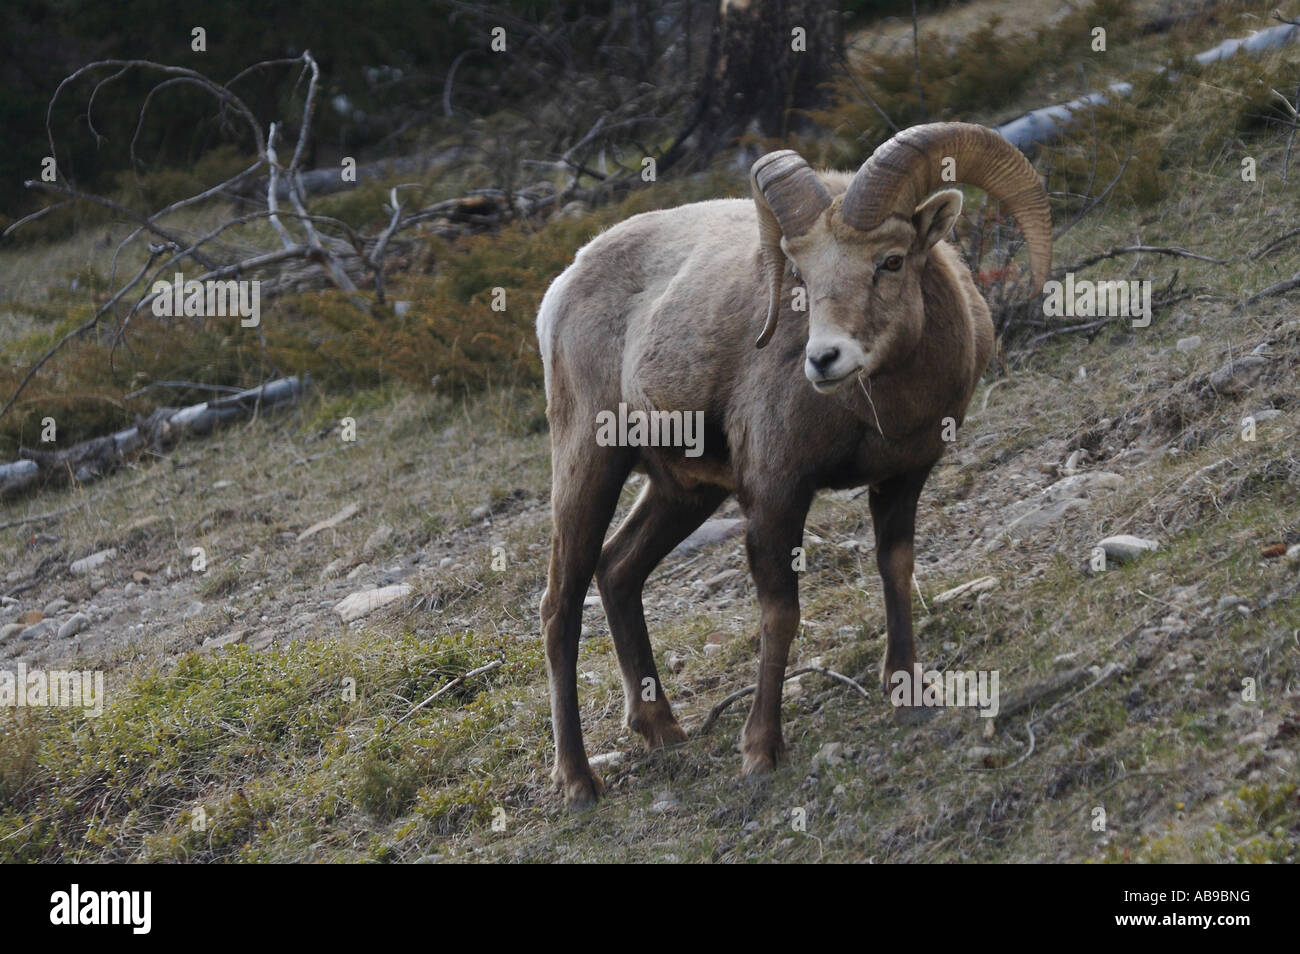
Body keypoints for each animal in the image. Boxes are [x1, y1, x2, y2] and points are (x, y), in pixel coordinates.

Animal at [536, 122, 1051, 807]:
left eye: (891, 260)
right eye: (801, 272)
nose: (824, 360)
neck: (877, 408)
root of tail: (561, 288)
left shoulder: (903, 480)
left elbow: (896, 570)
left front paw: (909, 693)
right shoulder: (776, 494)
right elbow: (780, 614)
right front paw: (760, 751)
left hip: (684, 492)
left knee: (618, 570)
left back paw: (662, 730)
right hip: (590, 467)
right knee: (560, 605)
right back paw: (578, 782)